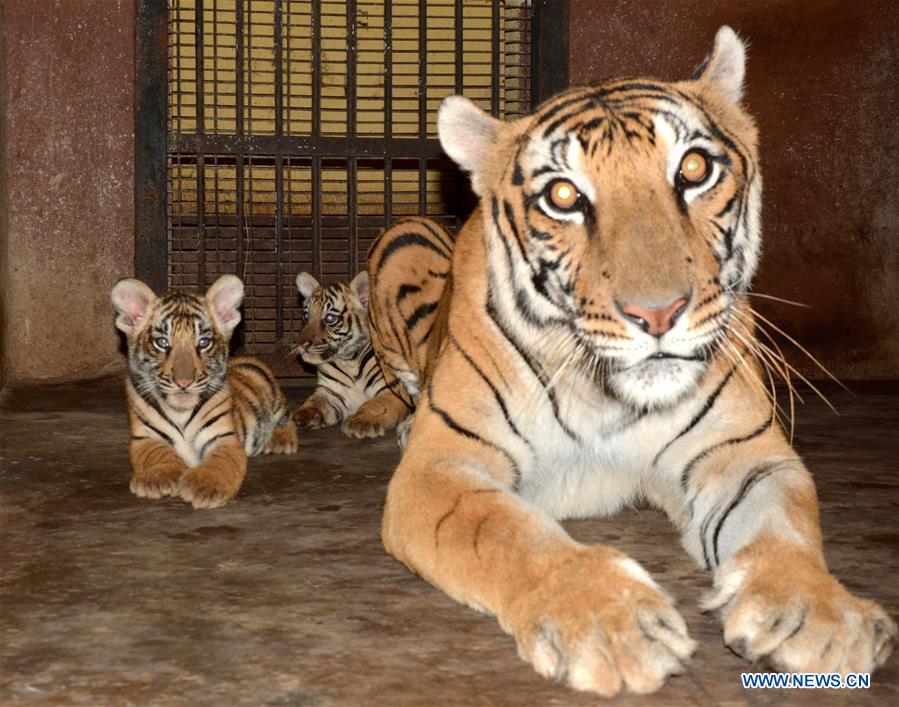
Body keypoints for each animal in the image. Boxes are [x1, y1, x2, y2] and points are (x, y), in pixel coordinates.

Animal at [111, 274, 298, 510]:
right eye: (162, 343)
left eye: (203, 342)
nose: (184, 382)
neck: (180, 412)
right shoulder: (144, 437)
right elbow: (156, 454)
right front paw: (158, 477)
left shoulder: (223, 437)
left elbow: (221, 462)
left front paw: (206, 487)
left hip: (267, 386)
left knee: (287, 417)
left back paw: (281, 440)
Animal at [291, 270, 408, 438]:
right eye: (306, 316)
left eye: (330, 318)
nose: (301, 344)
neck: (349, 360)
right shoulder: (331, 392)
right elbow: (315, 401)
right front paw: (301, 415)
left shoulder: (391, 390)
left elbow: (375, 404)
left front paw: (361, 422)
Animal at [370, 26, 896, 696]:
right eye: (563, 195)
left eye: (694, 169)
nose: (658, 313)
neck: (605, 395)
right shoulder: (440, 467)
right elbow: (508, 532)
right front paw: (610, 624)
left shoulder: (742, 455)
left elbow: (783, 531)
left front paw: (820, 615)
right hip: (400, 244)